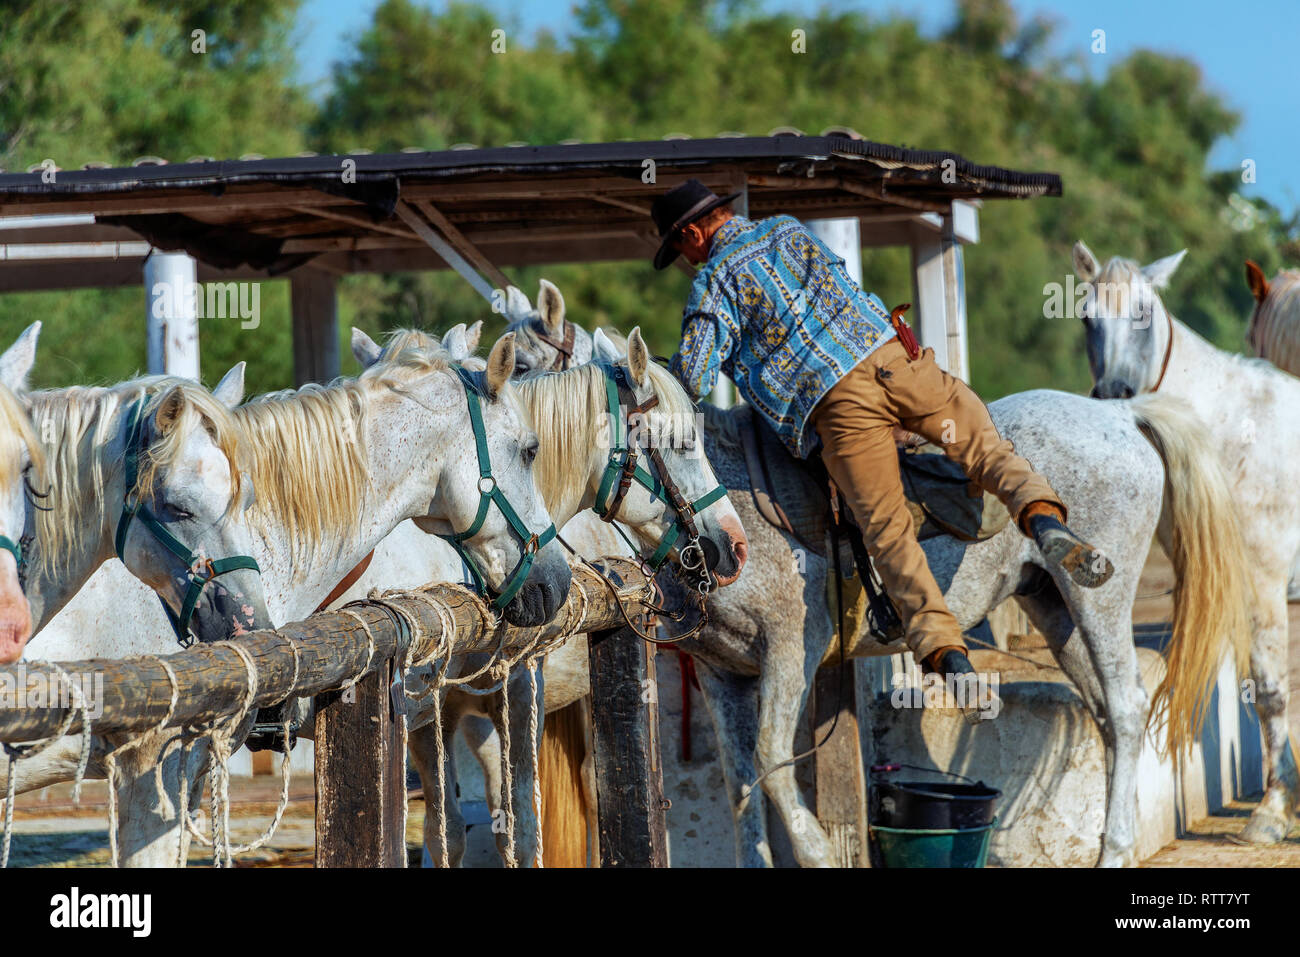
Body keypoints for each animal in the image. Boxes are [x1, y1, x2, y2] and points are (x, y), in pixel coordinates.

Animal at [1073, 240, 1300, 845]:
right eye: (1086, 317)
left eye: (1143, 314)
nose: (1114, 394)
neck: (1230, 430)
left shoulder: (1266, 583)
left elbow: (1271, 689)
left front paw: (1272, 811)